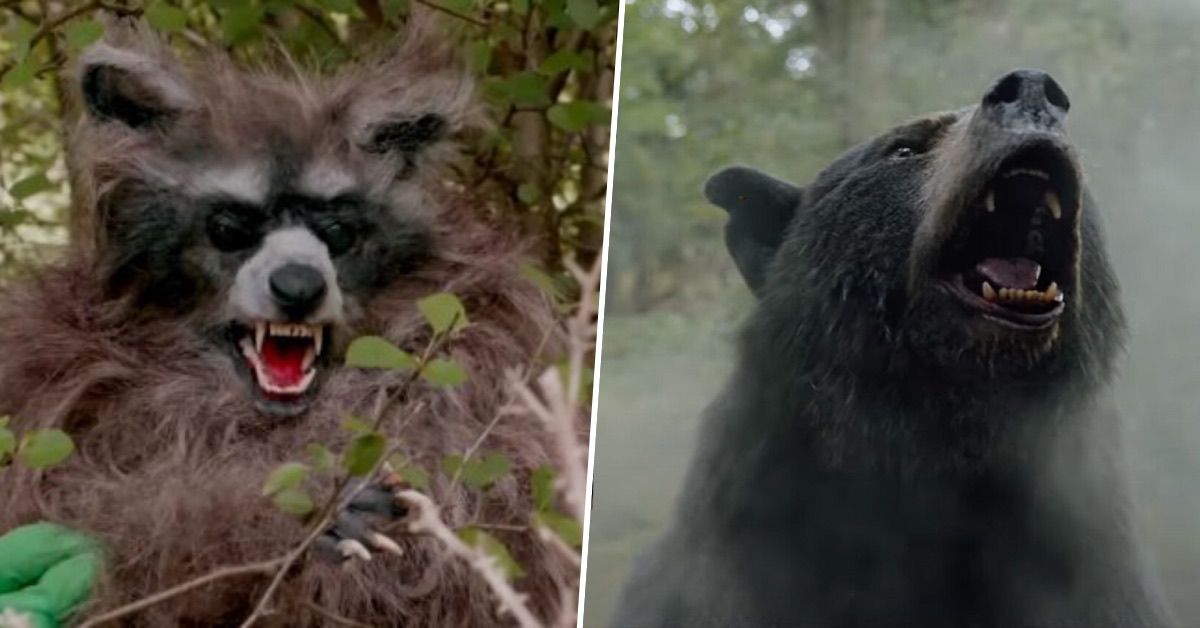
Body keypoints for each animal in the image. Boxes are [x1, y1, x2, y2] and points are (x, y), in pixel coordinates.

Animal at [0, 19, 574, 626]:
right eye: (229, 230)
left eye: (338, 232)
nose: (299, 285)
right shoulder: (53, 368)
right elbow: (94, 510)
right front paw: (272, 521)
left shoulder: (487, 357)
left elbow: (487, 536)